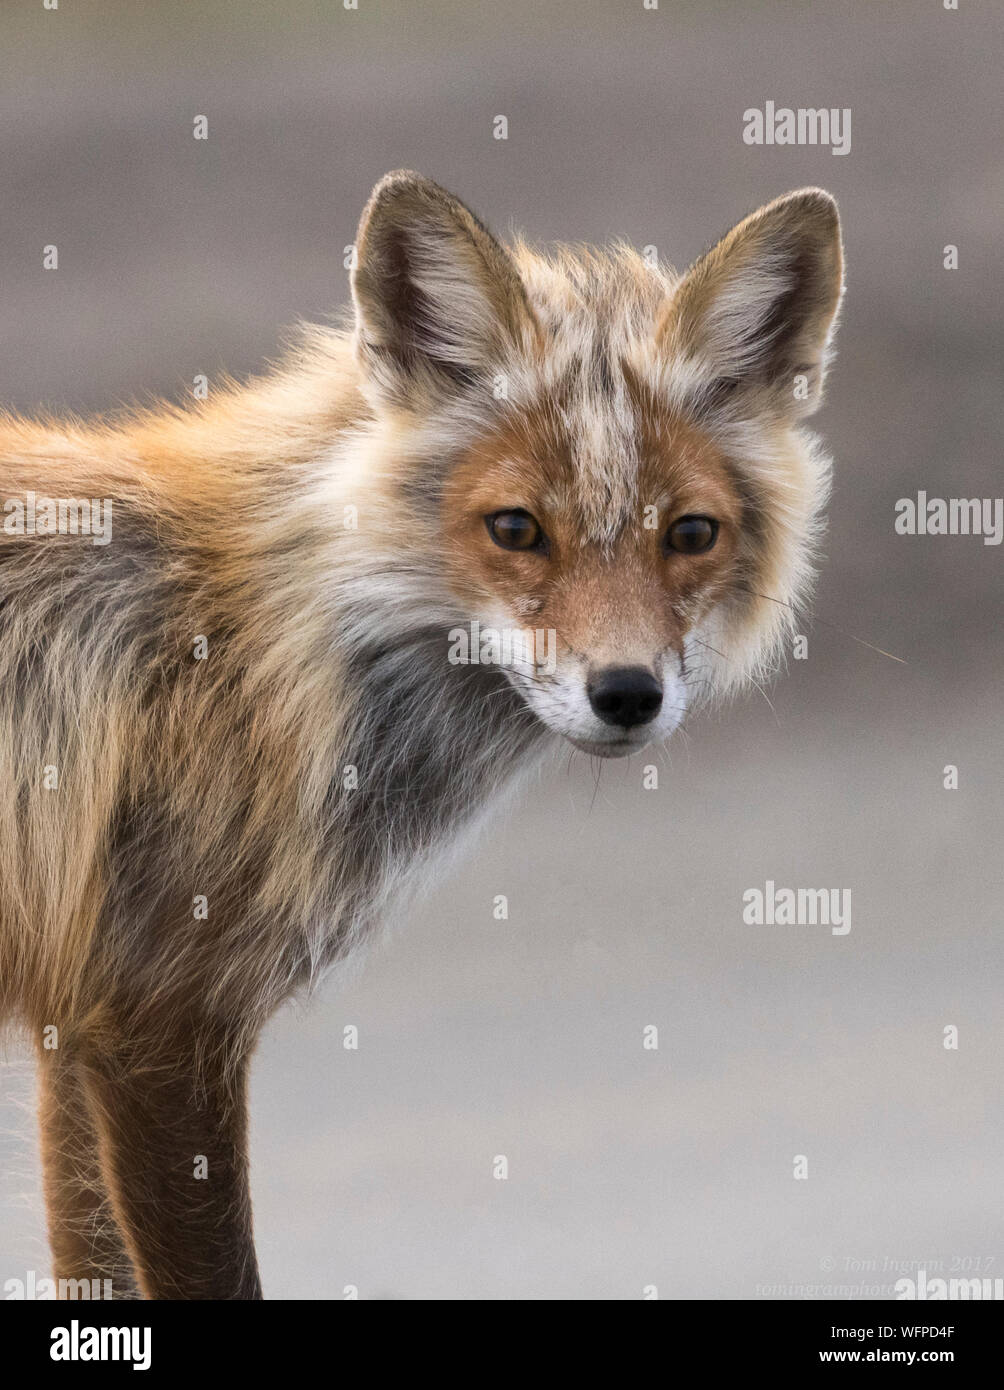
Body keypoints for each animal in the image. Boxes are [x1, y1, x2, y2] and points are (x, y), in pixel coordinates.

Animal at [0, 171, 843, 1299]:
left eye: (690, 534)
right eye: (516, 528)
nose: (626, 693)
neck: (260, 649)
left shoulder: (77, 1023)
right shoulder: (155, 1023)